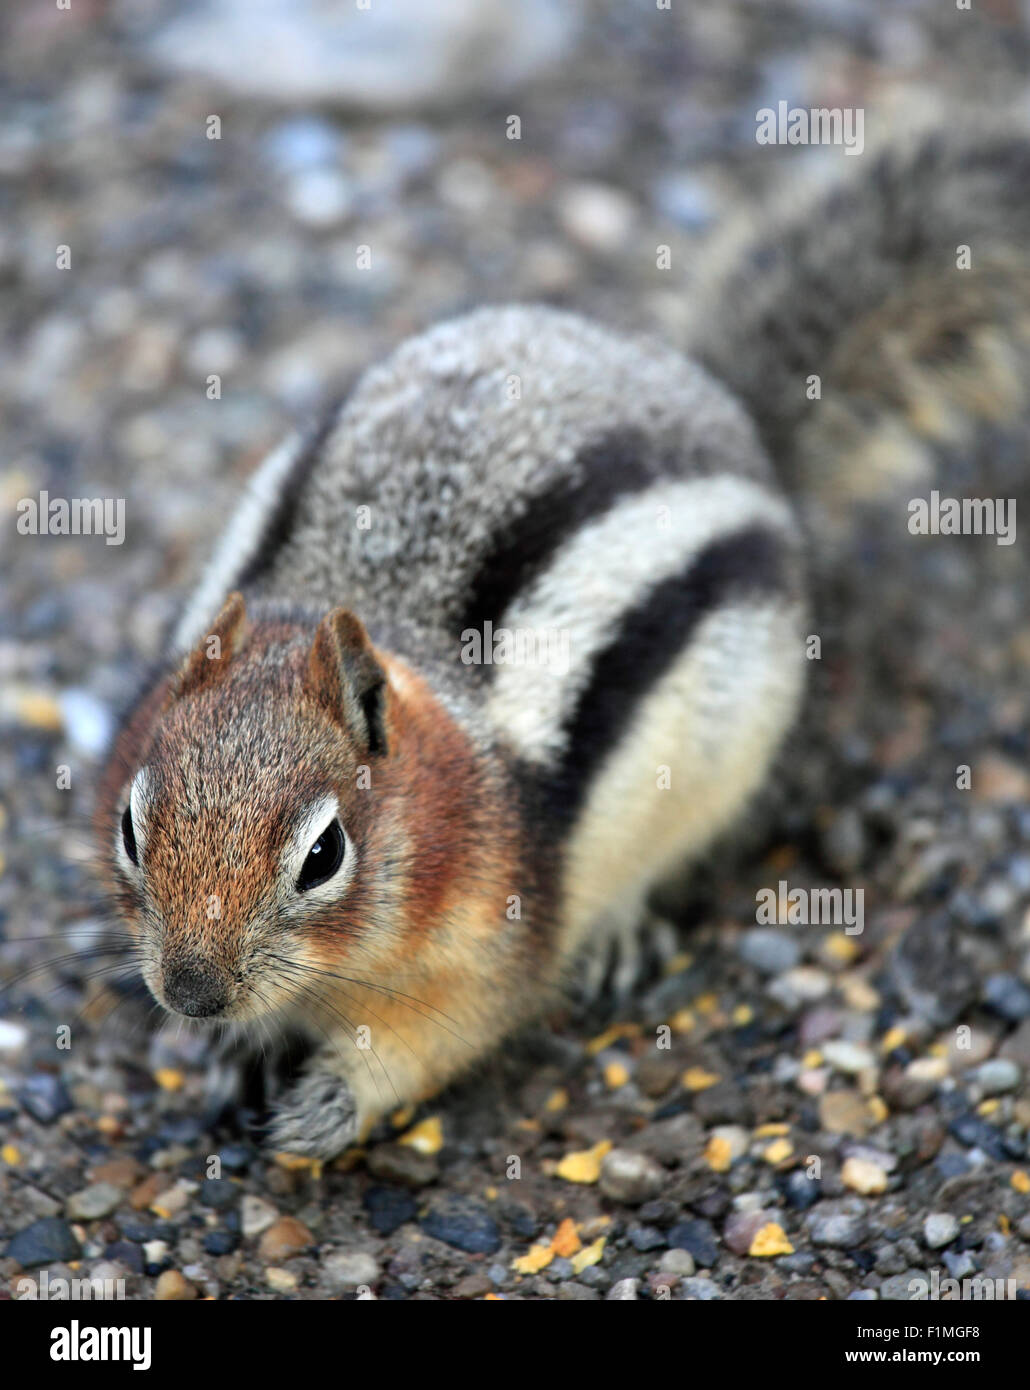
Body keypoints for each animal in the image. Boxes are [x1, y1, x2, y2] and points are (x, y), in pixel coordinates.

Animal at [94, 125, 1030, 1158]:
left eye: (324, 855)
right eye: (132, 828)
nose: (192, 994)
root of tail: (726, 414)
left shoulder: (490, 943)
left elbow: (435, 1041)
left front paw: (326, 1104)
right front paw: (235, 1054)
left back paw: (620, 929)